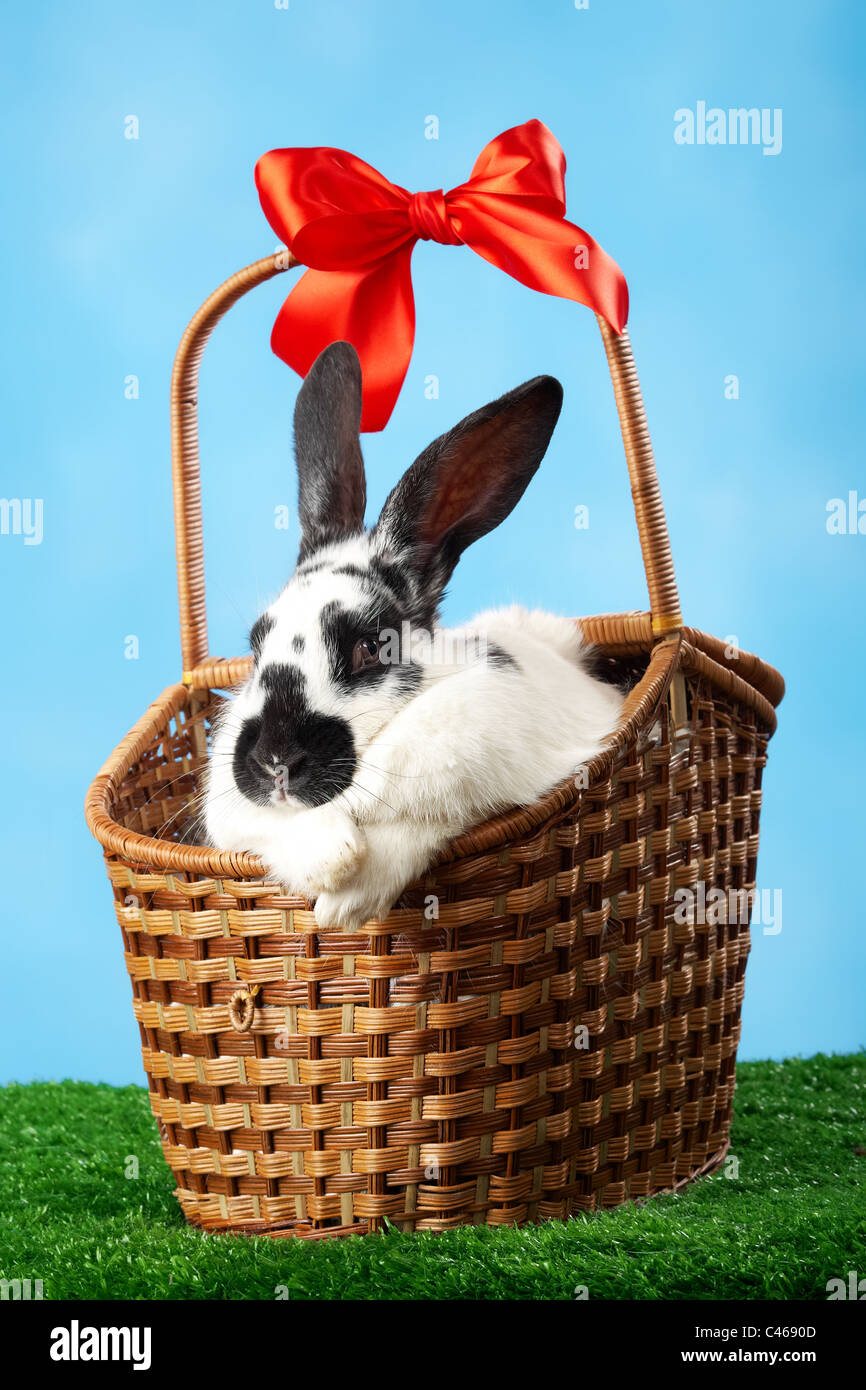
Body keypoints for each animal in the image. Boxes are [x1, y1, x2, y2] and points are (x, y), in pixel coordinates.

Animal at [203, 341, 625, 930]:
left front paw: (344, 903)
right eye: (256, 643)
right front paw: (330, 860)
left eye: (368, 648)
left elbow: (417, 827)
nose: (274, 763)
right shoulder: (236, 818)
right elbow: (282, 830)